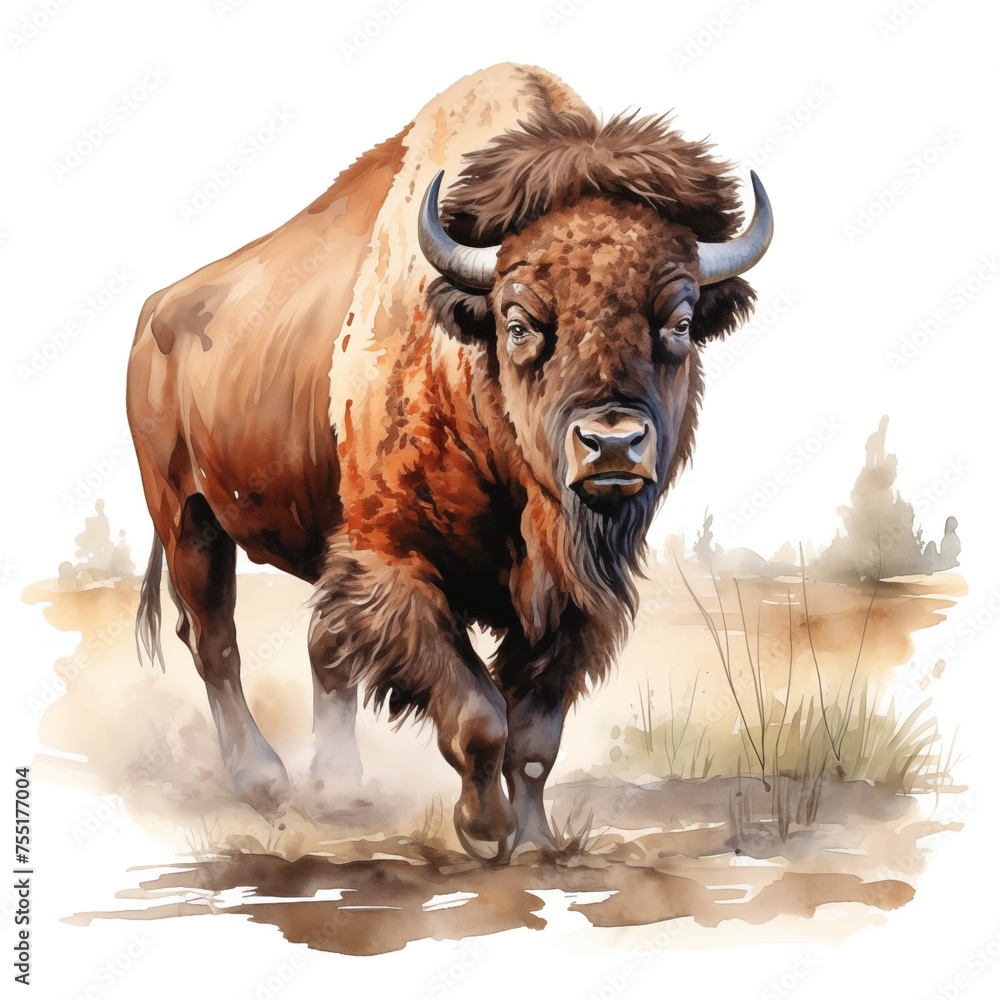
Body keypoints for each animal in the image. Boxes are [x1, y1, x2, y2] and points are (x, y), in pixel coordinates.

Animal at [126, 63, 772, 859]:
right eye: (518, 321)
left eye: (679, 323)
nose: (613, 443)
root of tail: (157, 311)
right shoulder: (395, 562)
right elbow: (478, 716)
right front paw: (484, 833)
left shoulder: (571, 605)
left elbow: (535, 737)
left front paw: (536, 842)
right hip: (188, 518)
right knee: (214, 638)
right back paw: (264, 782)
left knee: (320, 650)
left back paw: (338, 789)